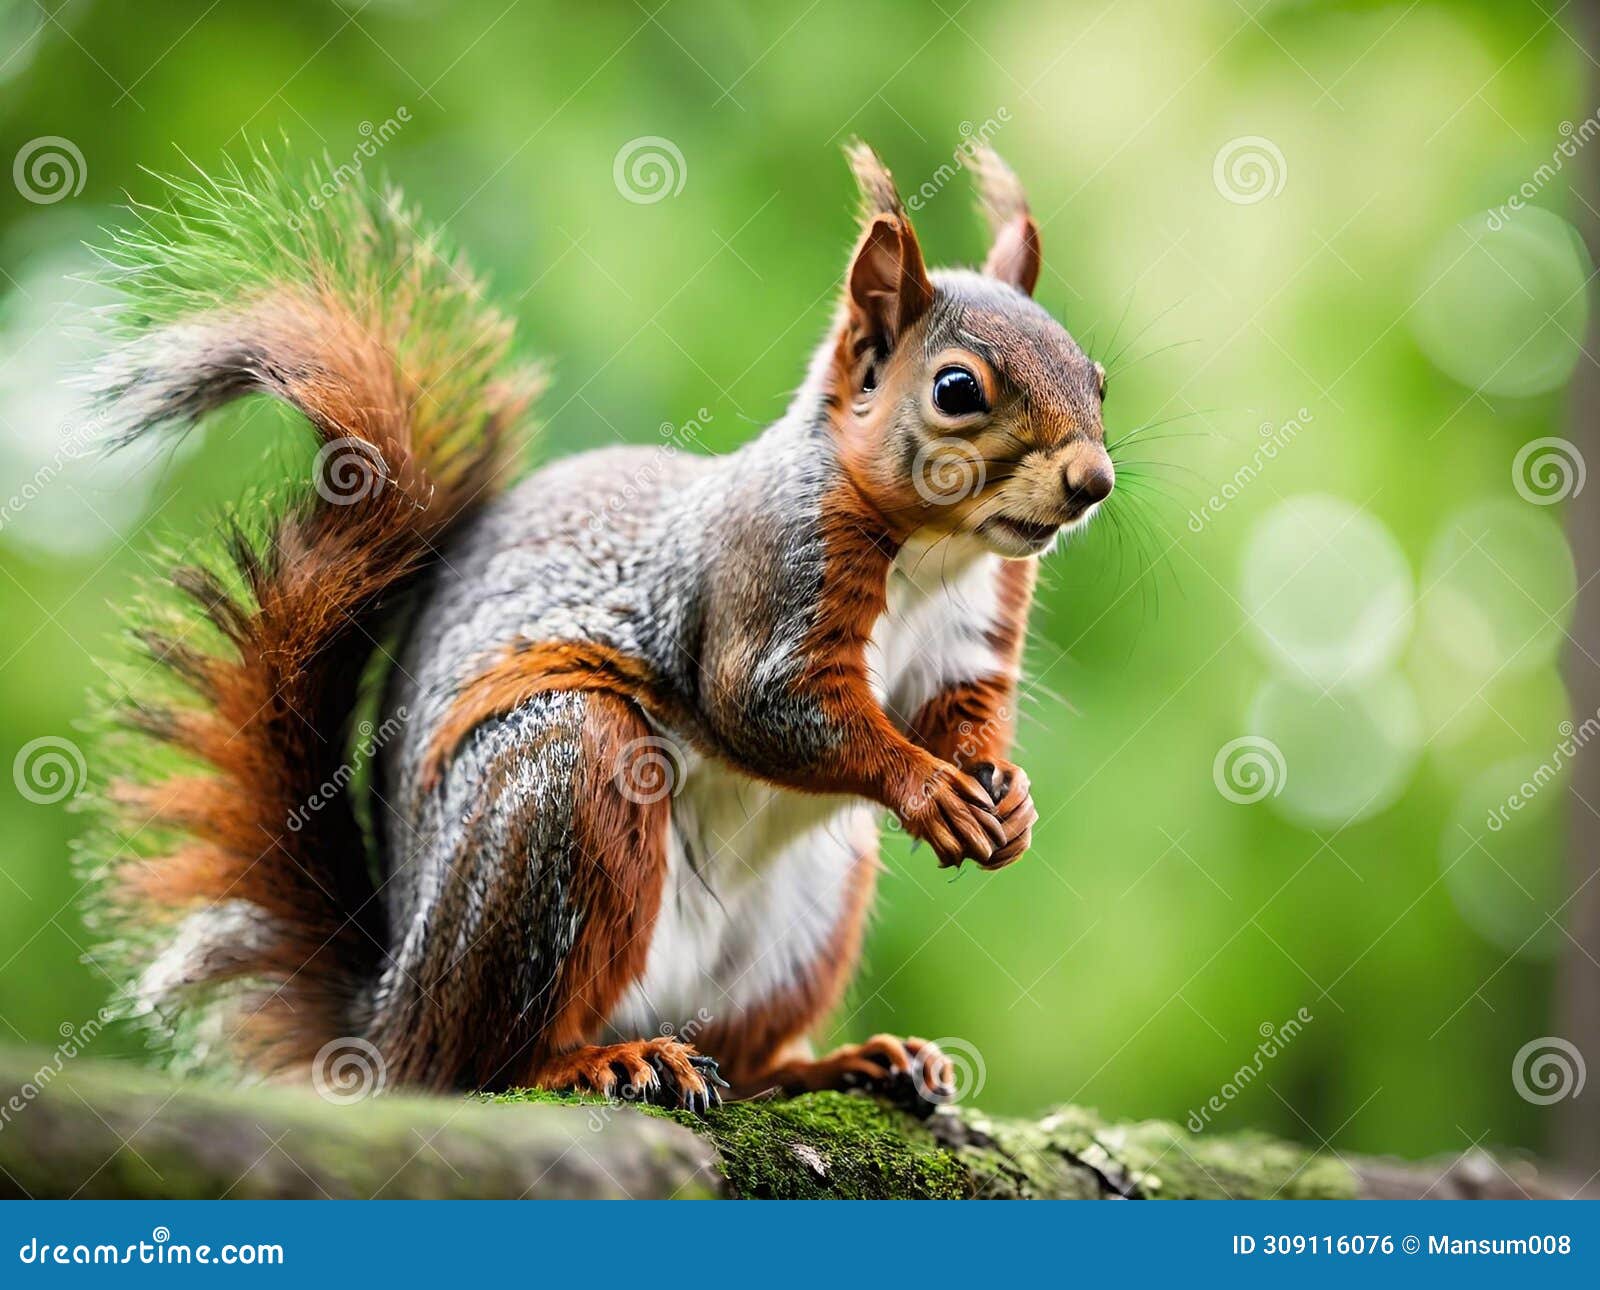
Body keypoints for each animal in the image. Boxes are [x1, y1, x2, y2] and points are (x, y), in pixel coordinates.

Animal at [87, 141, 1113, 1113]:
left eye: (1097, 379)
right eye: (956, 390)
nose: (1092, 482)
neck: (932, 555)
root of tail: (388, 1029)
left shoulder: (971, 640)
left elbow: (962, 713)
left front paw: (1006, 796)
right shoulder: (767, 574)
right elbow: (766, 705)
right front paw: (929, 788)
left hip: (806, 915)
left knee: (747, 1058)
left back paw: (842, 1064)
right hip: (561, 789)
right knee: (490, 1065)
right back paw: (598, 1062)